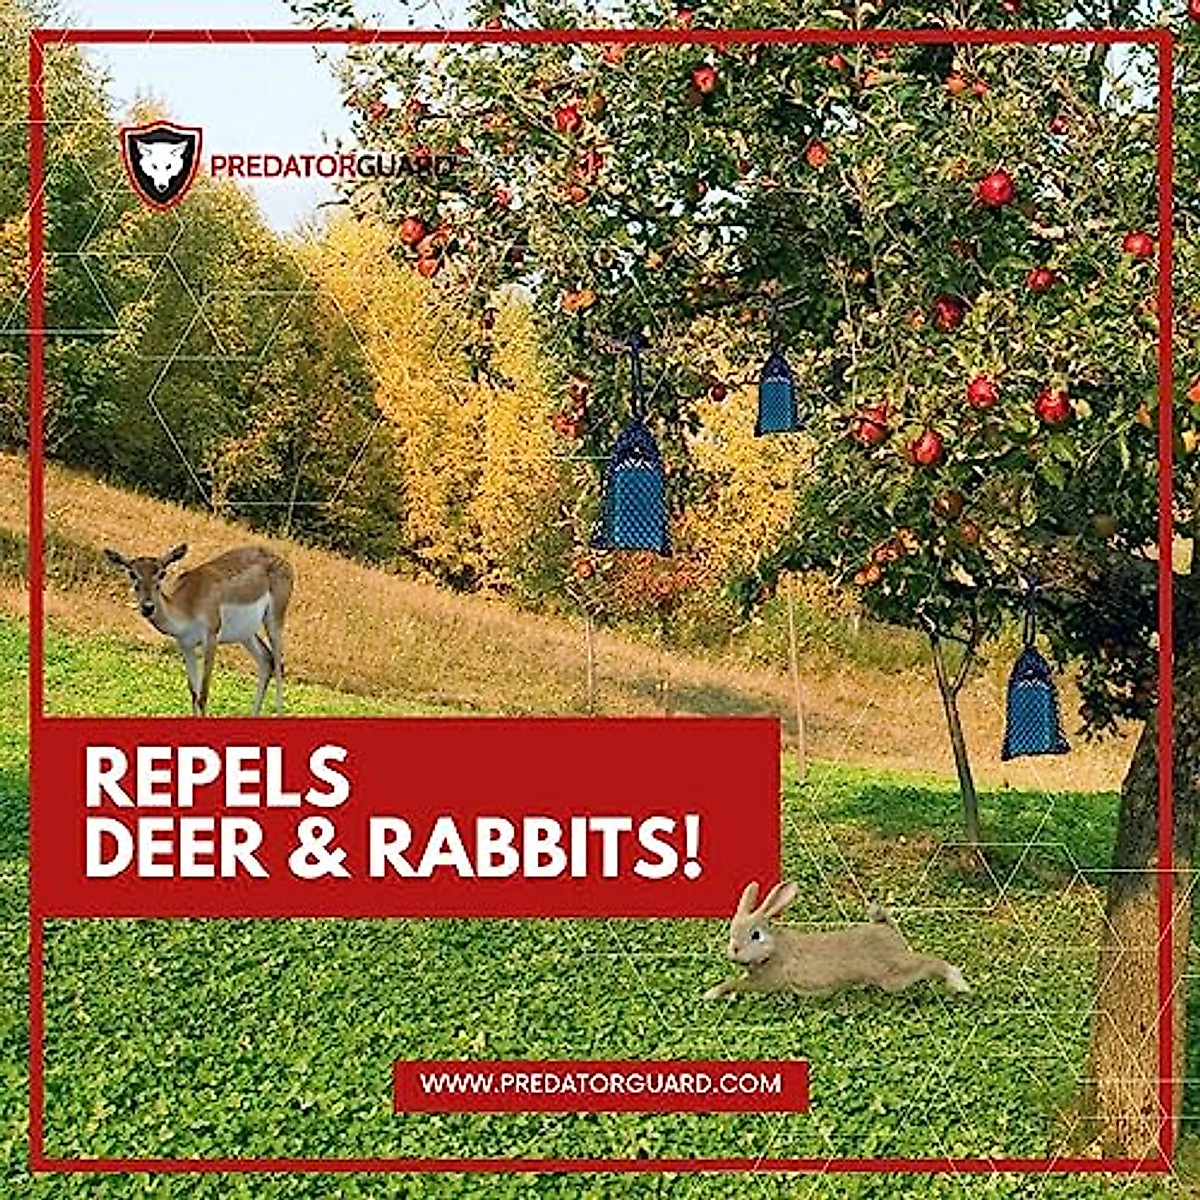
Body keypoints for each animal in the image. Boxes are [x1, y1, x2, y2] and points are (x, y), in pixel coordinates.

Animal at [104, 544, 294, 716]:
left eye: (162, 573)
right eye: (132, 573)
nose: (148, 607)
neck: (187, 605)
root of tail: (284, 562)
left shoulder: (211, 637)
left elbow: (203, 695)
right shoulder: (186, 646)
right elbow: (193, 694)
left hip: (274, 620)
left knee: (279, 665)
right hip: (246, 635)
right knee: (266, 660)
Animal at [703, 881, 970, 1000]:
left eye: (755, 935)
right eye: (732, 931)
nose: (734, 950)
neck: (774, 948)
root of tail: (888, 931)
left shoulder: (767, 981)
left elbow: (737, 983)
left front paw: (712, 993)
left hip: (893, 975)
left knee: (929, 964)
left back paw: (959, 983)